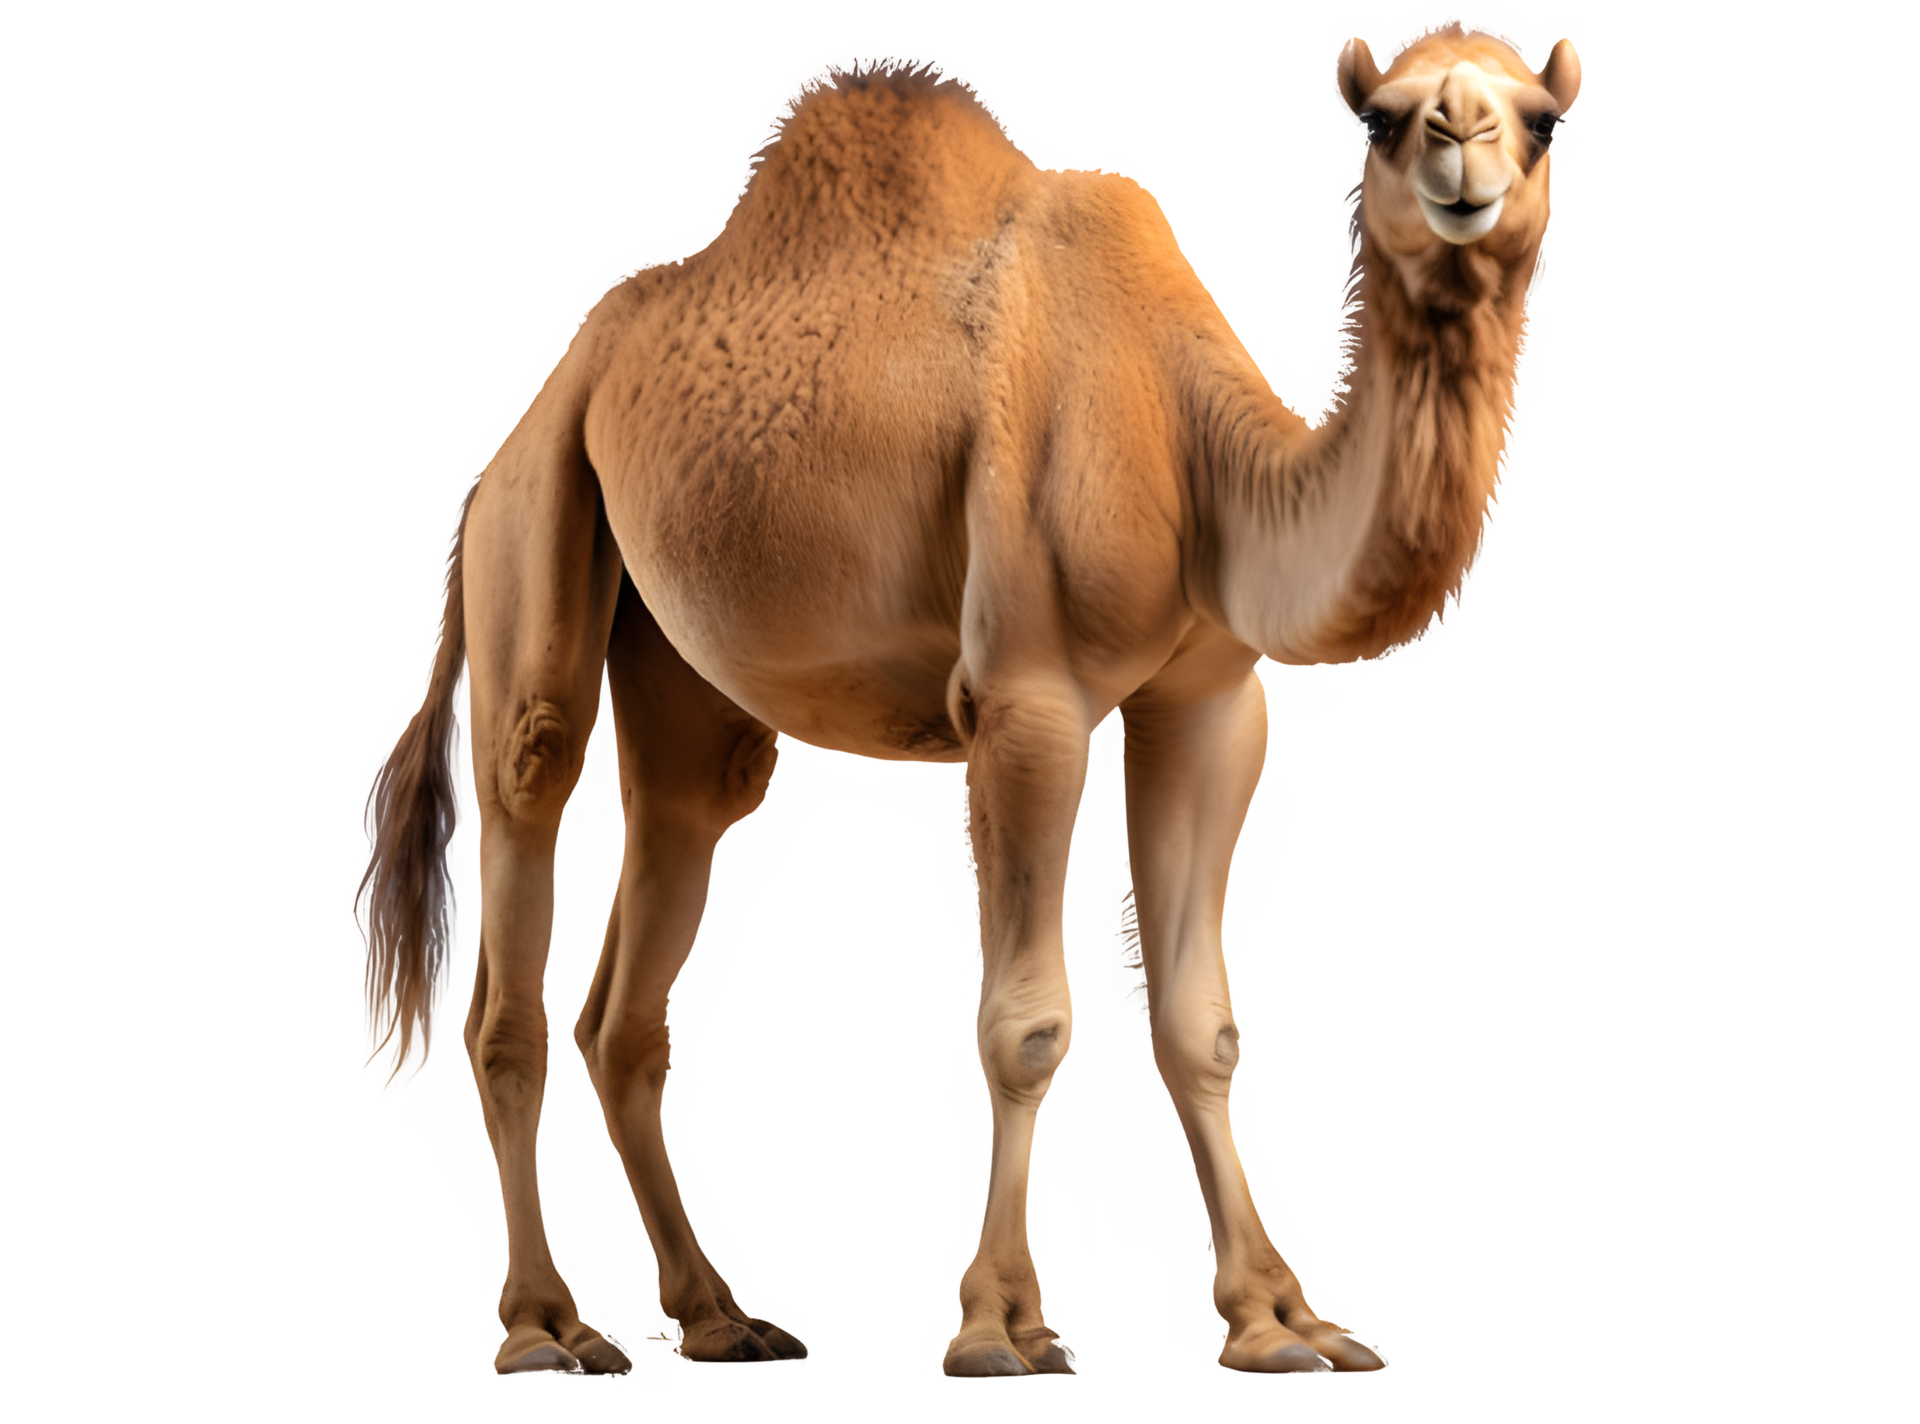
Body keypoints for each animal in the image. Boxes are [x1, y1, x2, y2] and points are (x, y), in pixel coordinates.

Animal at [353, 17, 1583, 1378]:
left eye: (1544, 119)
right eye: (1381, 118)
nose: (1464, 143)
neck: (1196, 441)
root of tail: (500, 452)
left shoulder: (1212, 702)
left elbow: (1200, 1017)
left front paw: (1284, 1319)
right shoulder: (1023, 695)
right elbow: (1027, 1022)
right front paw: (1004, 1322)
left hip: (676, 647)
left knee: (649, 922)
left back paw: (718, 1314)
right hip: (537, 532)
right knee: (524, 845)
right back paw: (548, 1327)